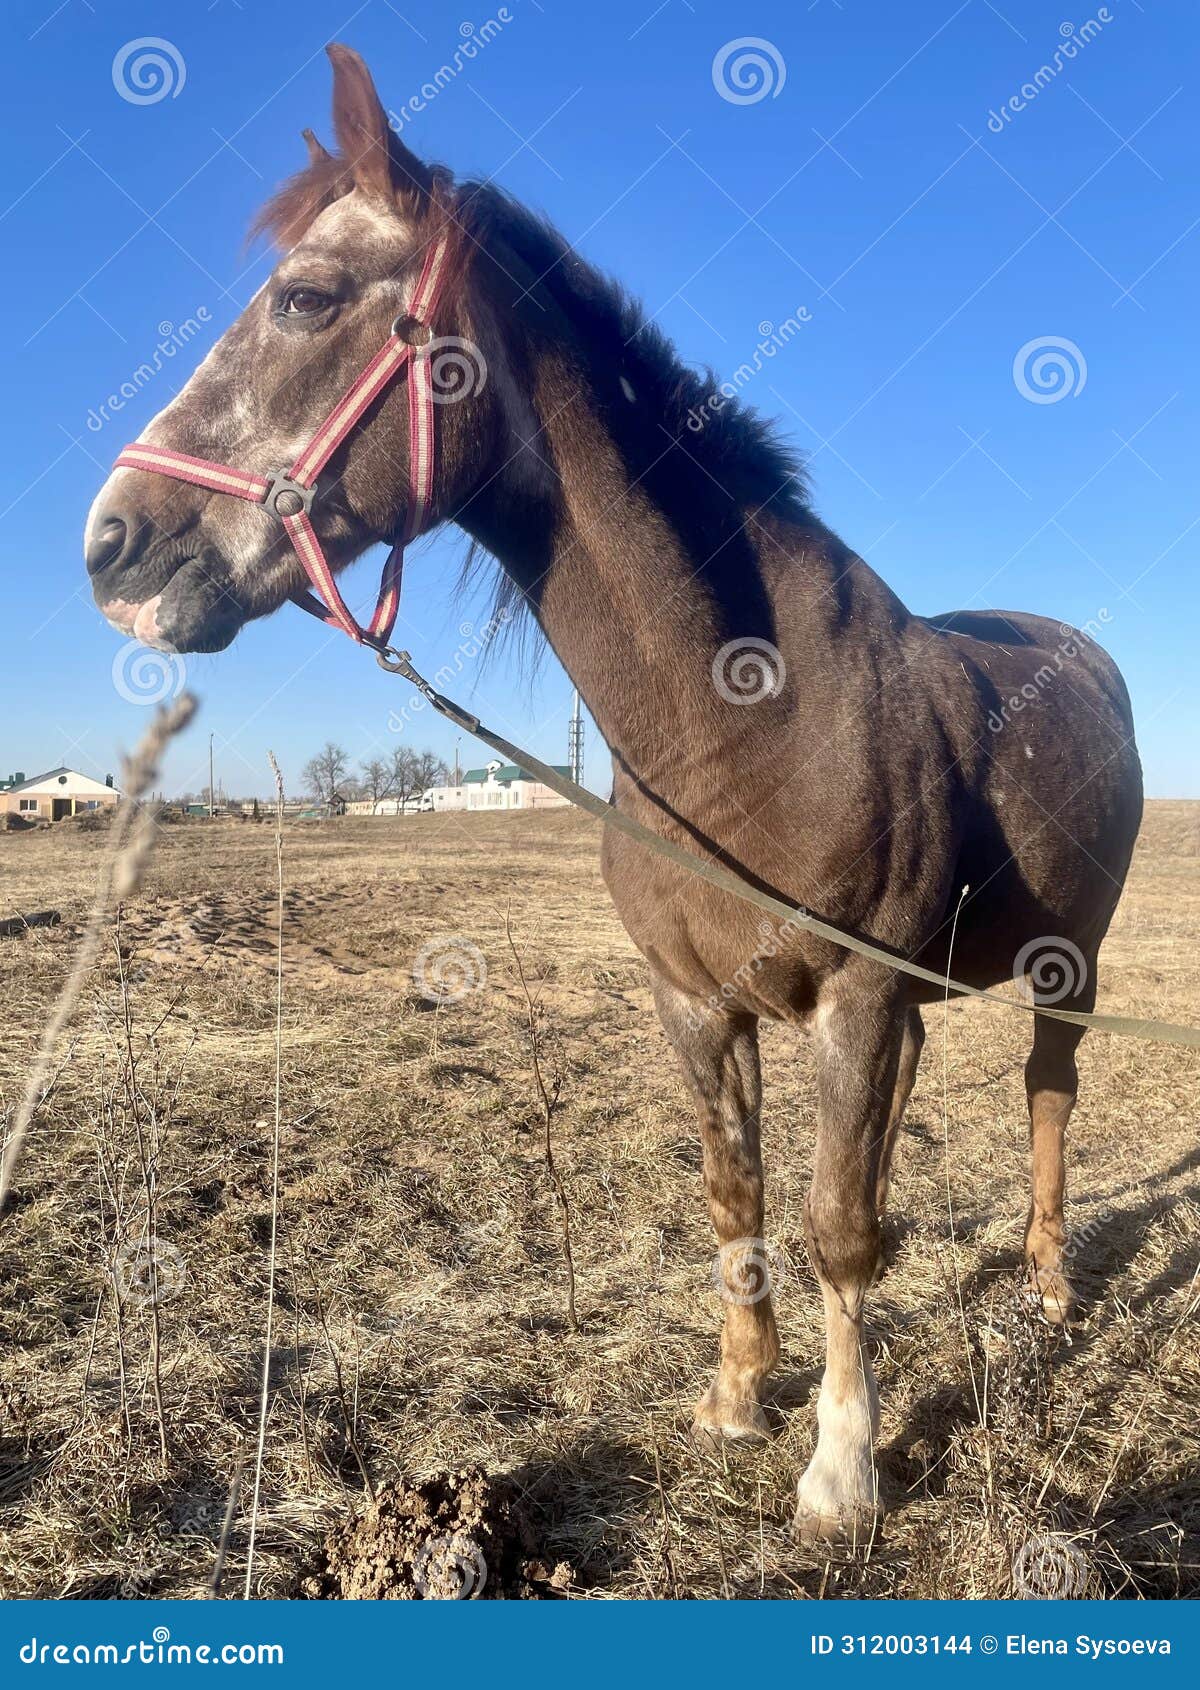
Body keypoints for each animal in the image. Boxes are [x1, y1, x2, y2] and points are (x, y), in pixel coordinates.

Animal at [83, 45, 1143, 1543]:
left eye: (305, 297)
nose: (110, 543)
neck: (753, 716)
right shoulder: (699, 1002)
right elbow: (739, 1190)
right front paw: (738, 1397)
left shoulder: (858, 994)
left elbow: (834, 1223)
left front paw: (840, 1473)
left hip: (1069, 964)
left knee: (1050, 1096)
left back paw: (1050, 1288)